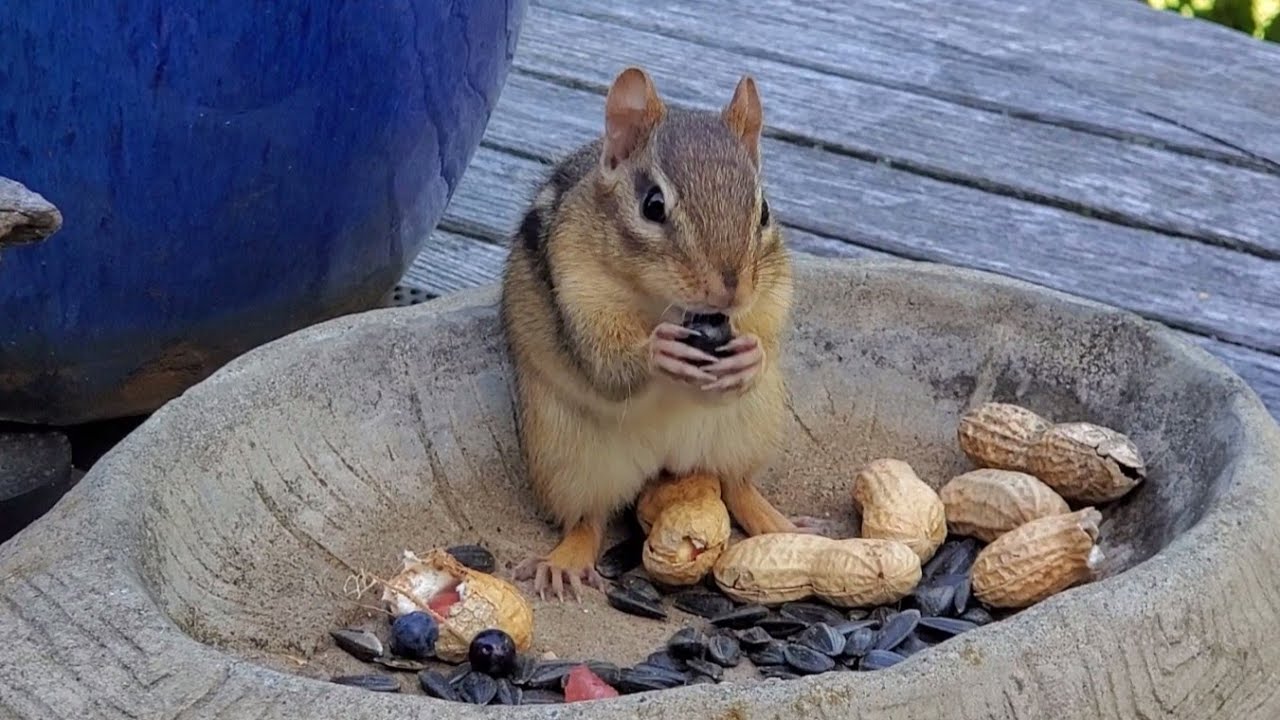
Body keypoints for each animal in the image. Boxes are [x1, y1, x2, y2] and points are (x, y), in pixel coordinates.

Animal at [499, 66, 827, 602]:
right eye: (653, 206)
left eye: (764, 210)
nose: (730, 291)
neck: (663, 302)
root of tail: (664, 461)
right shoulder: (580, 291)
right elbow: (607, 366)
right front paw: (659, 352)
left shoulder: (772, 289)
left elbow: (769, 325)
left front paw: (751, 356)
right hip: (566, 456)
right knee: (587, 519)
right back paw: (564, 562)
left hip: (749, 427)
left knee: (737, 485)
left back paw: (783, 527)